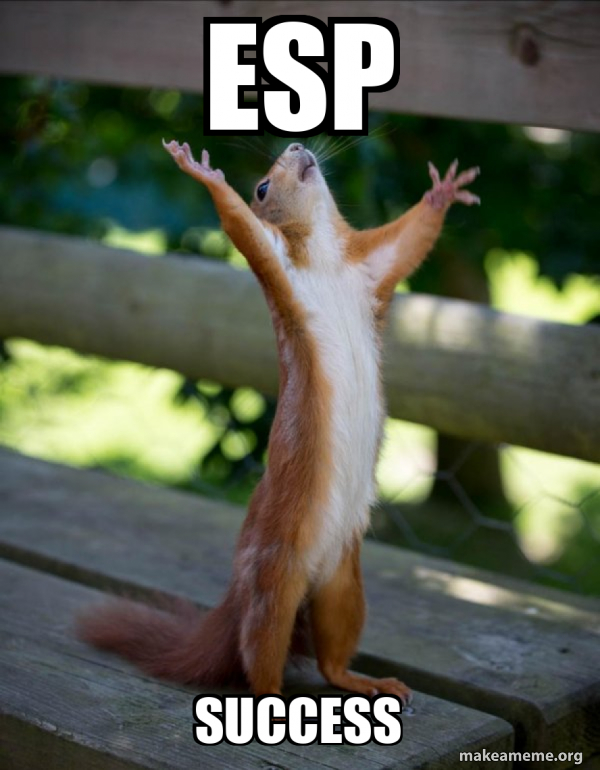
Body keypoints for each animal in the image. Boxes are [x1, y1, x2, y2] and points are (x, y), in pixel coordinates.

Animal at [77, 139, 479, 702]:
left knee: (332, 657)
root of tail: (238, 594)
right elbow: (240, 226)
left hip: (344, 586)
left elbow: (411, 239)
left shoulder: (372, 267)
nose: (295, 144)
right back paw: (275, 696)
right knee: (259, 657)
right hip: (273, 583)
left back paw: (366, 680)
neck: (327, 258)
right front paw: (204, 173)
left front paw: (442, 192)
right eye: (262, 187)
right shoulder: (277, 264)